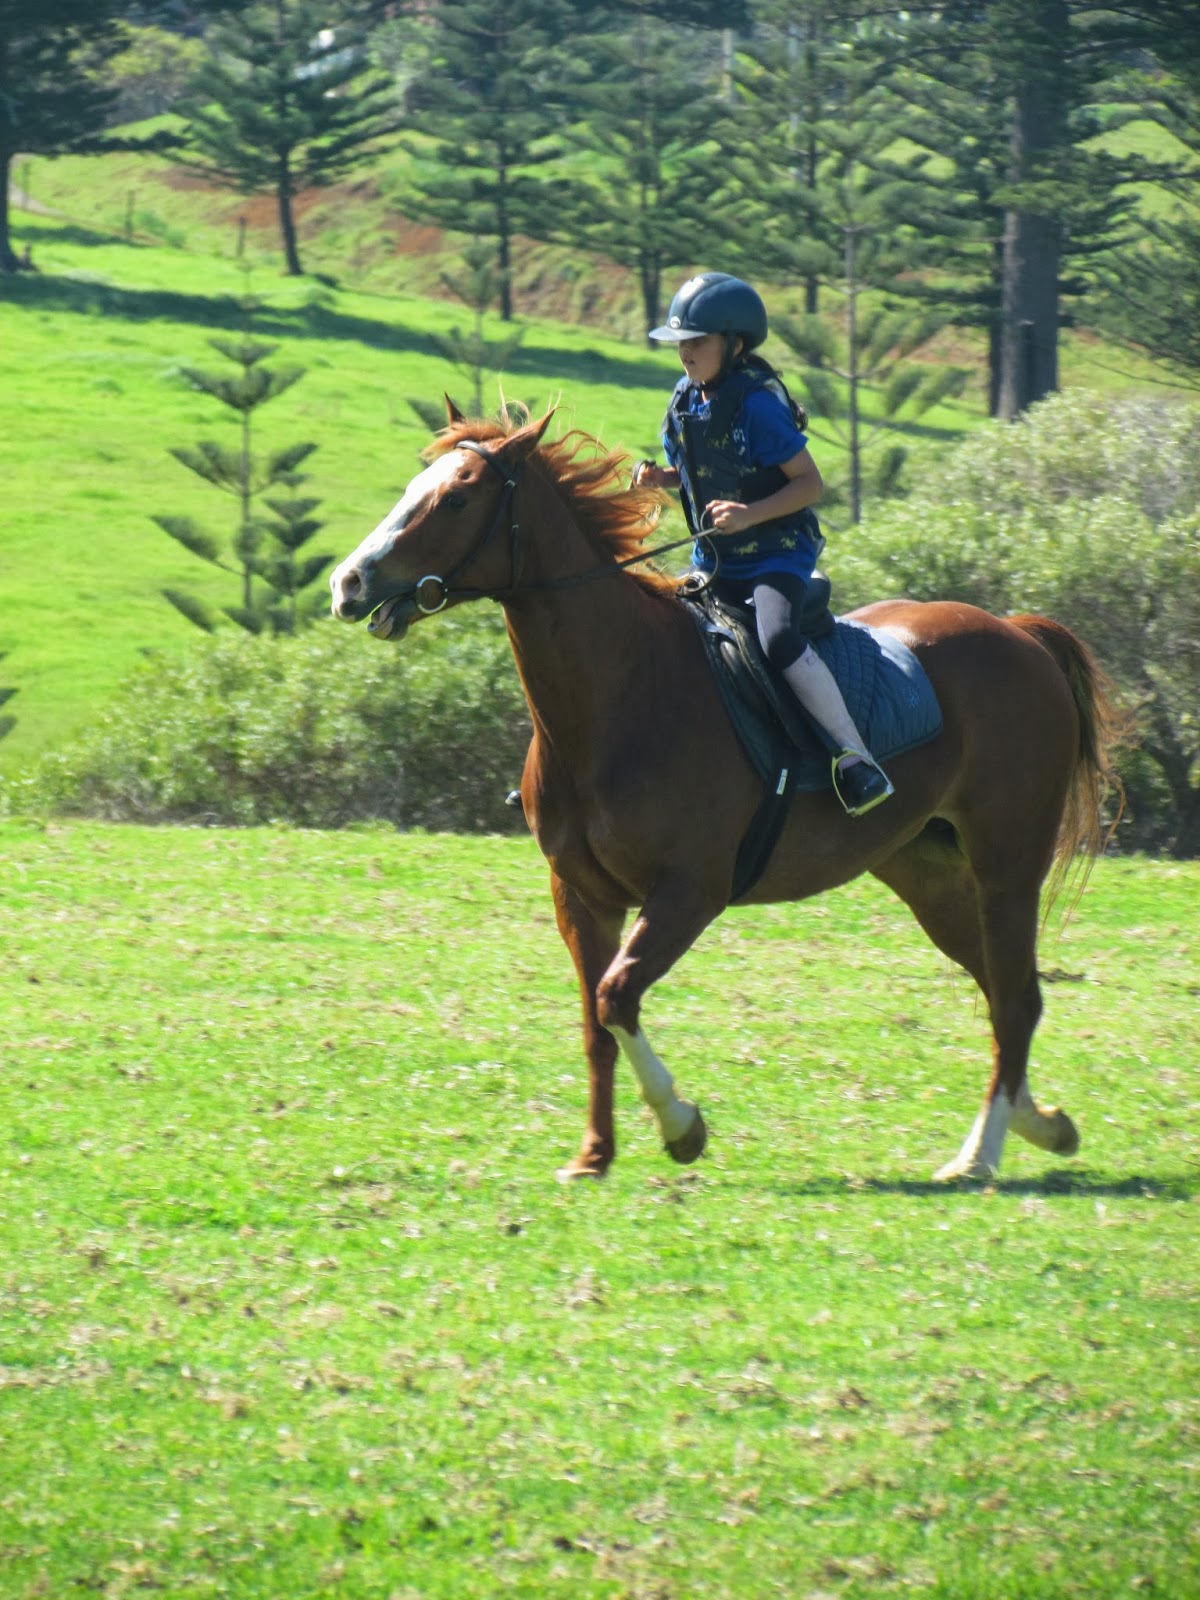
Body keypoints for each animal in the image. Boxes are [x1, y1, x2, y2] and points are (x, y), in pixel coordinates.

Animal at [329, 404, 1121, 1184]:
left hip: (1006, 866)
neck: (617, 698)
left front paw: (681, 1127)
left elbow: (617, 996)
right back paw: (1039, 1123)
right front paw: (594, 1154)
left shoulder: (689, 891)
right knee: (1003, 990)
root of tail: (1017, 634)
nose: (348, 585)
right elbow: (595, 1021)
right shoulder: (582, 897)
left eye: (456, 498)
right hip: (927, 873)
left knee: (1014, 999)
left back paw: (979, 1155)